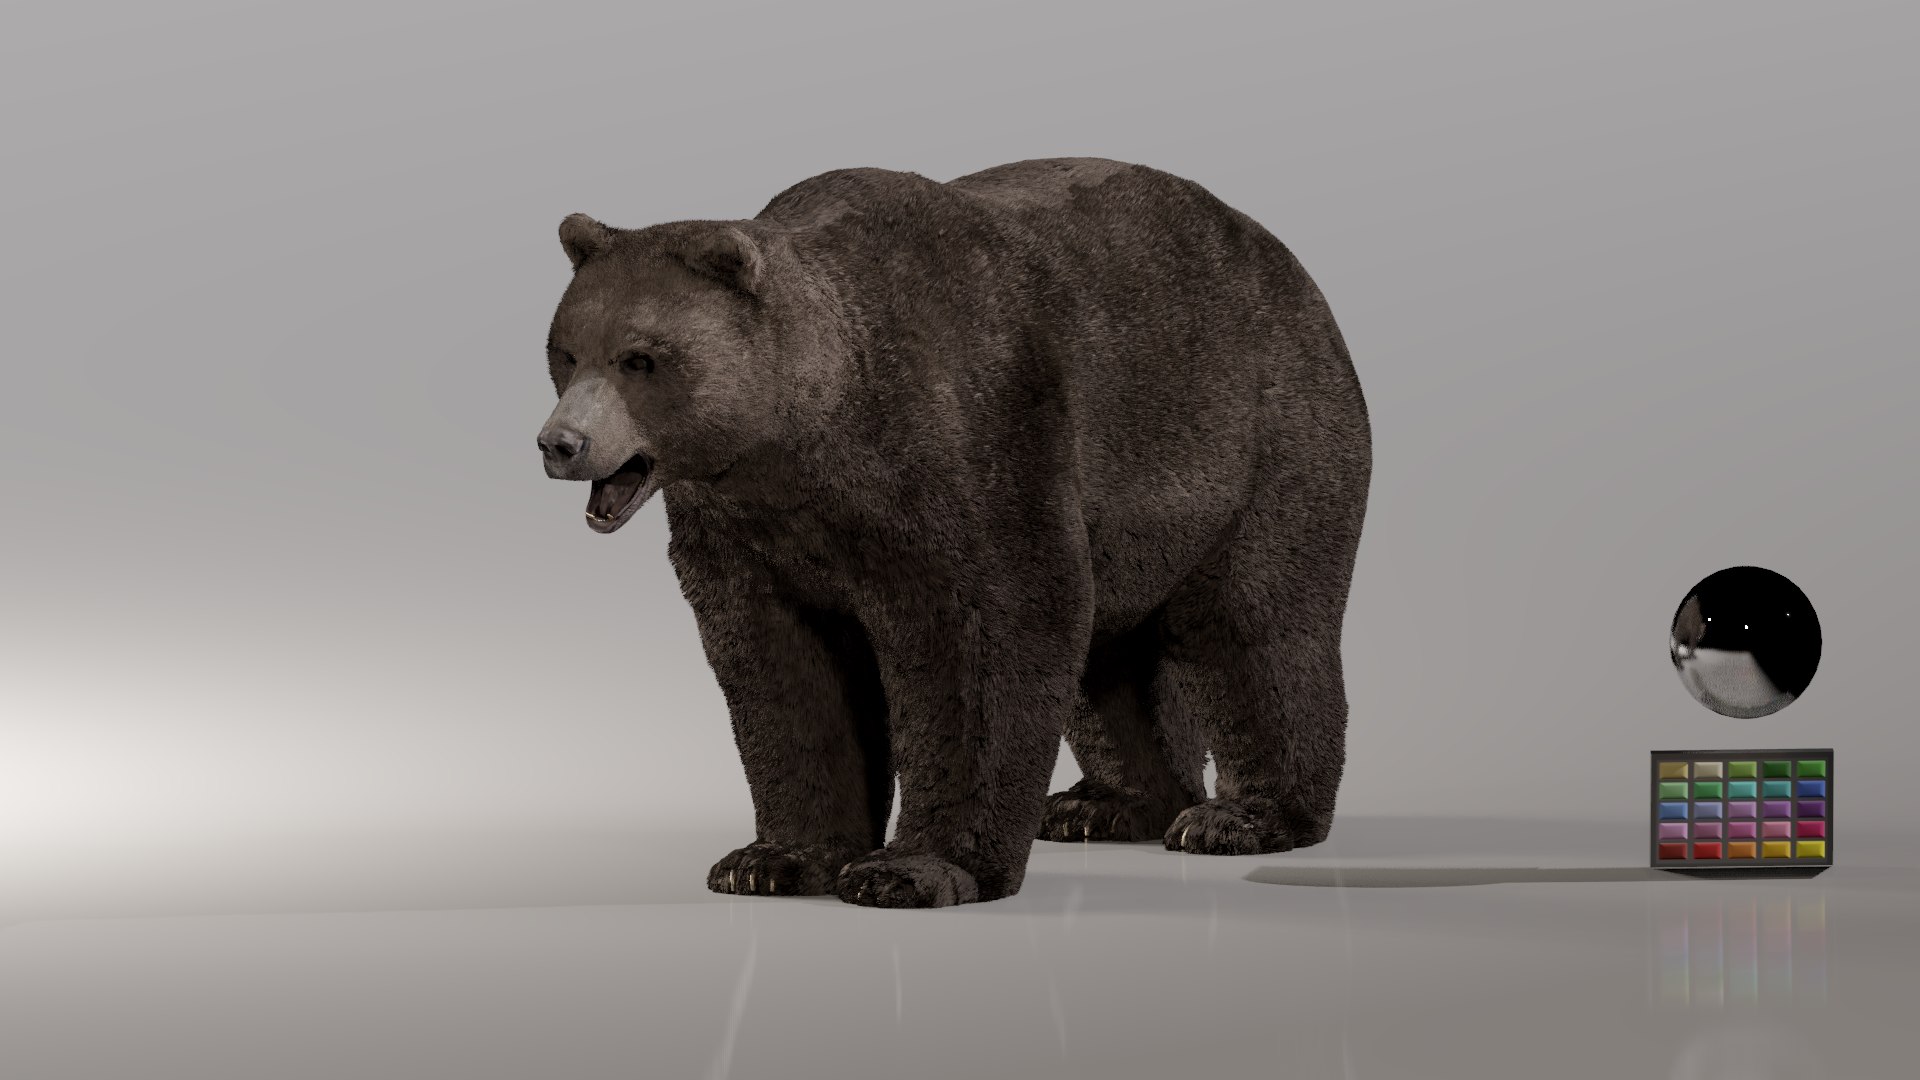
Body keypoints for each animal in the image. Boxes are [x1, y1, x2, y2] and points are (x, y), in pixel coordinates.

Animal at [535, 157, 1371, 908]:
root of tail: (1293, 268)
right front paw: (770, 859)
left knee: (1256, 622)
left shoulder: (967, 443)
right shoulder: (745, 530)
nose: (560, 444)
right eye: (565, 351)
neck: (808, 434)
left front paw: (913, 869)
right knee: (1110, 658)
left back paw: (1239, 816)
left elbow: (986, 636)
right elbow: (782, 669)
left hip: (1260, 440)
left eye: (641, 358)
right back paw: (1106, 805)